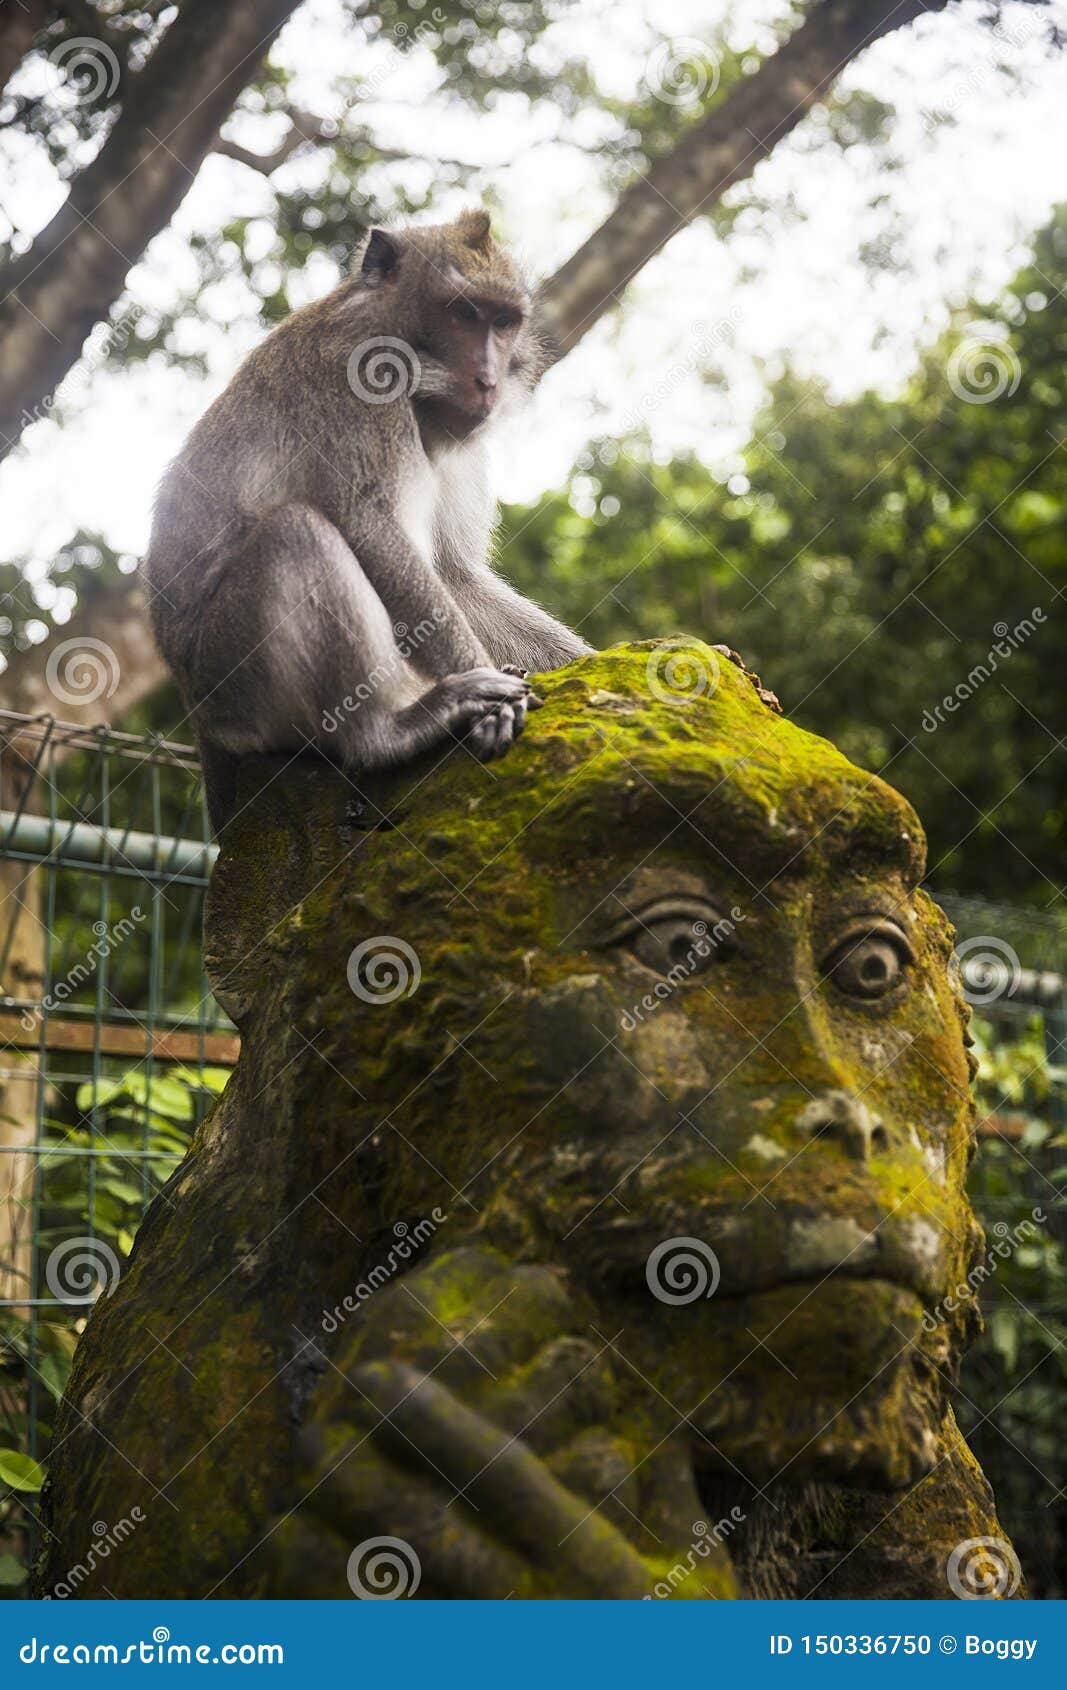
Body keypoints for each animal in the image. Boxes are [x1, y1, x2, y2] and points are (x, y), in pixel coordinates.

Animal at [144, 208, 591, 835]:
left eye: (504, 322)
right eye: (463, 314)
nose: (488, 379)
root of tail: (197, 715)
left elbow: (452, 575)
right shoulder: (357, 383)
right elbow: (371, 534)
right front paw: (502, 701)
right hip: (231, 682)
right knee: (296, 535)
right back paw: (388, 732)